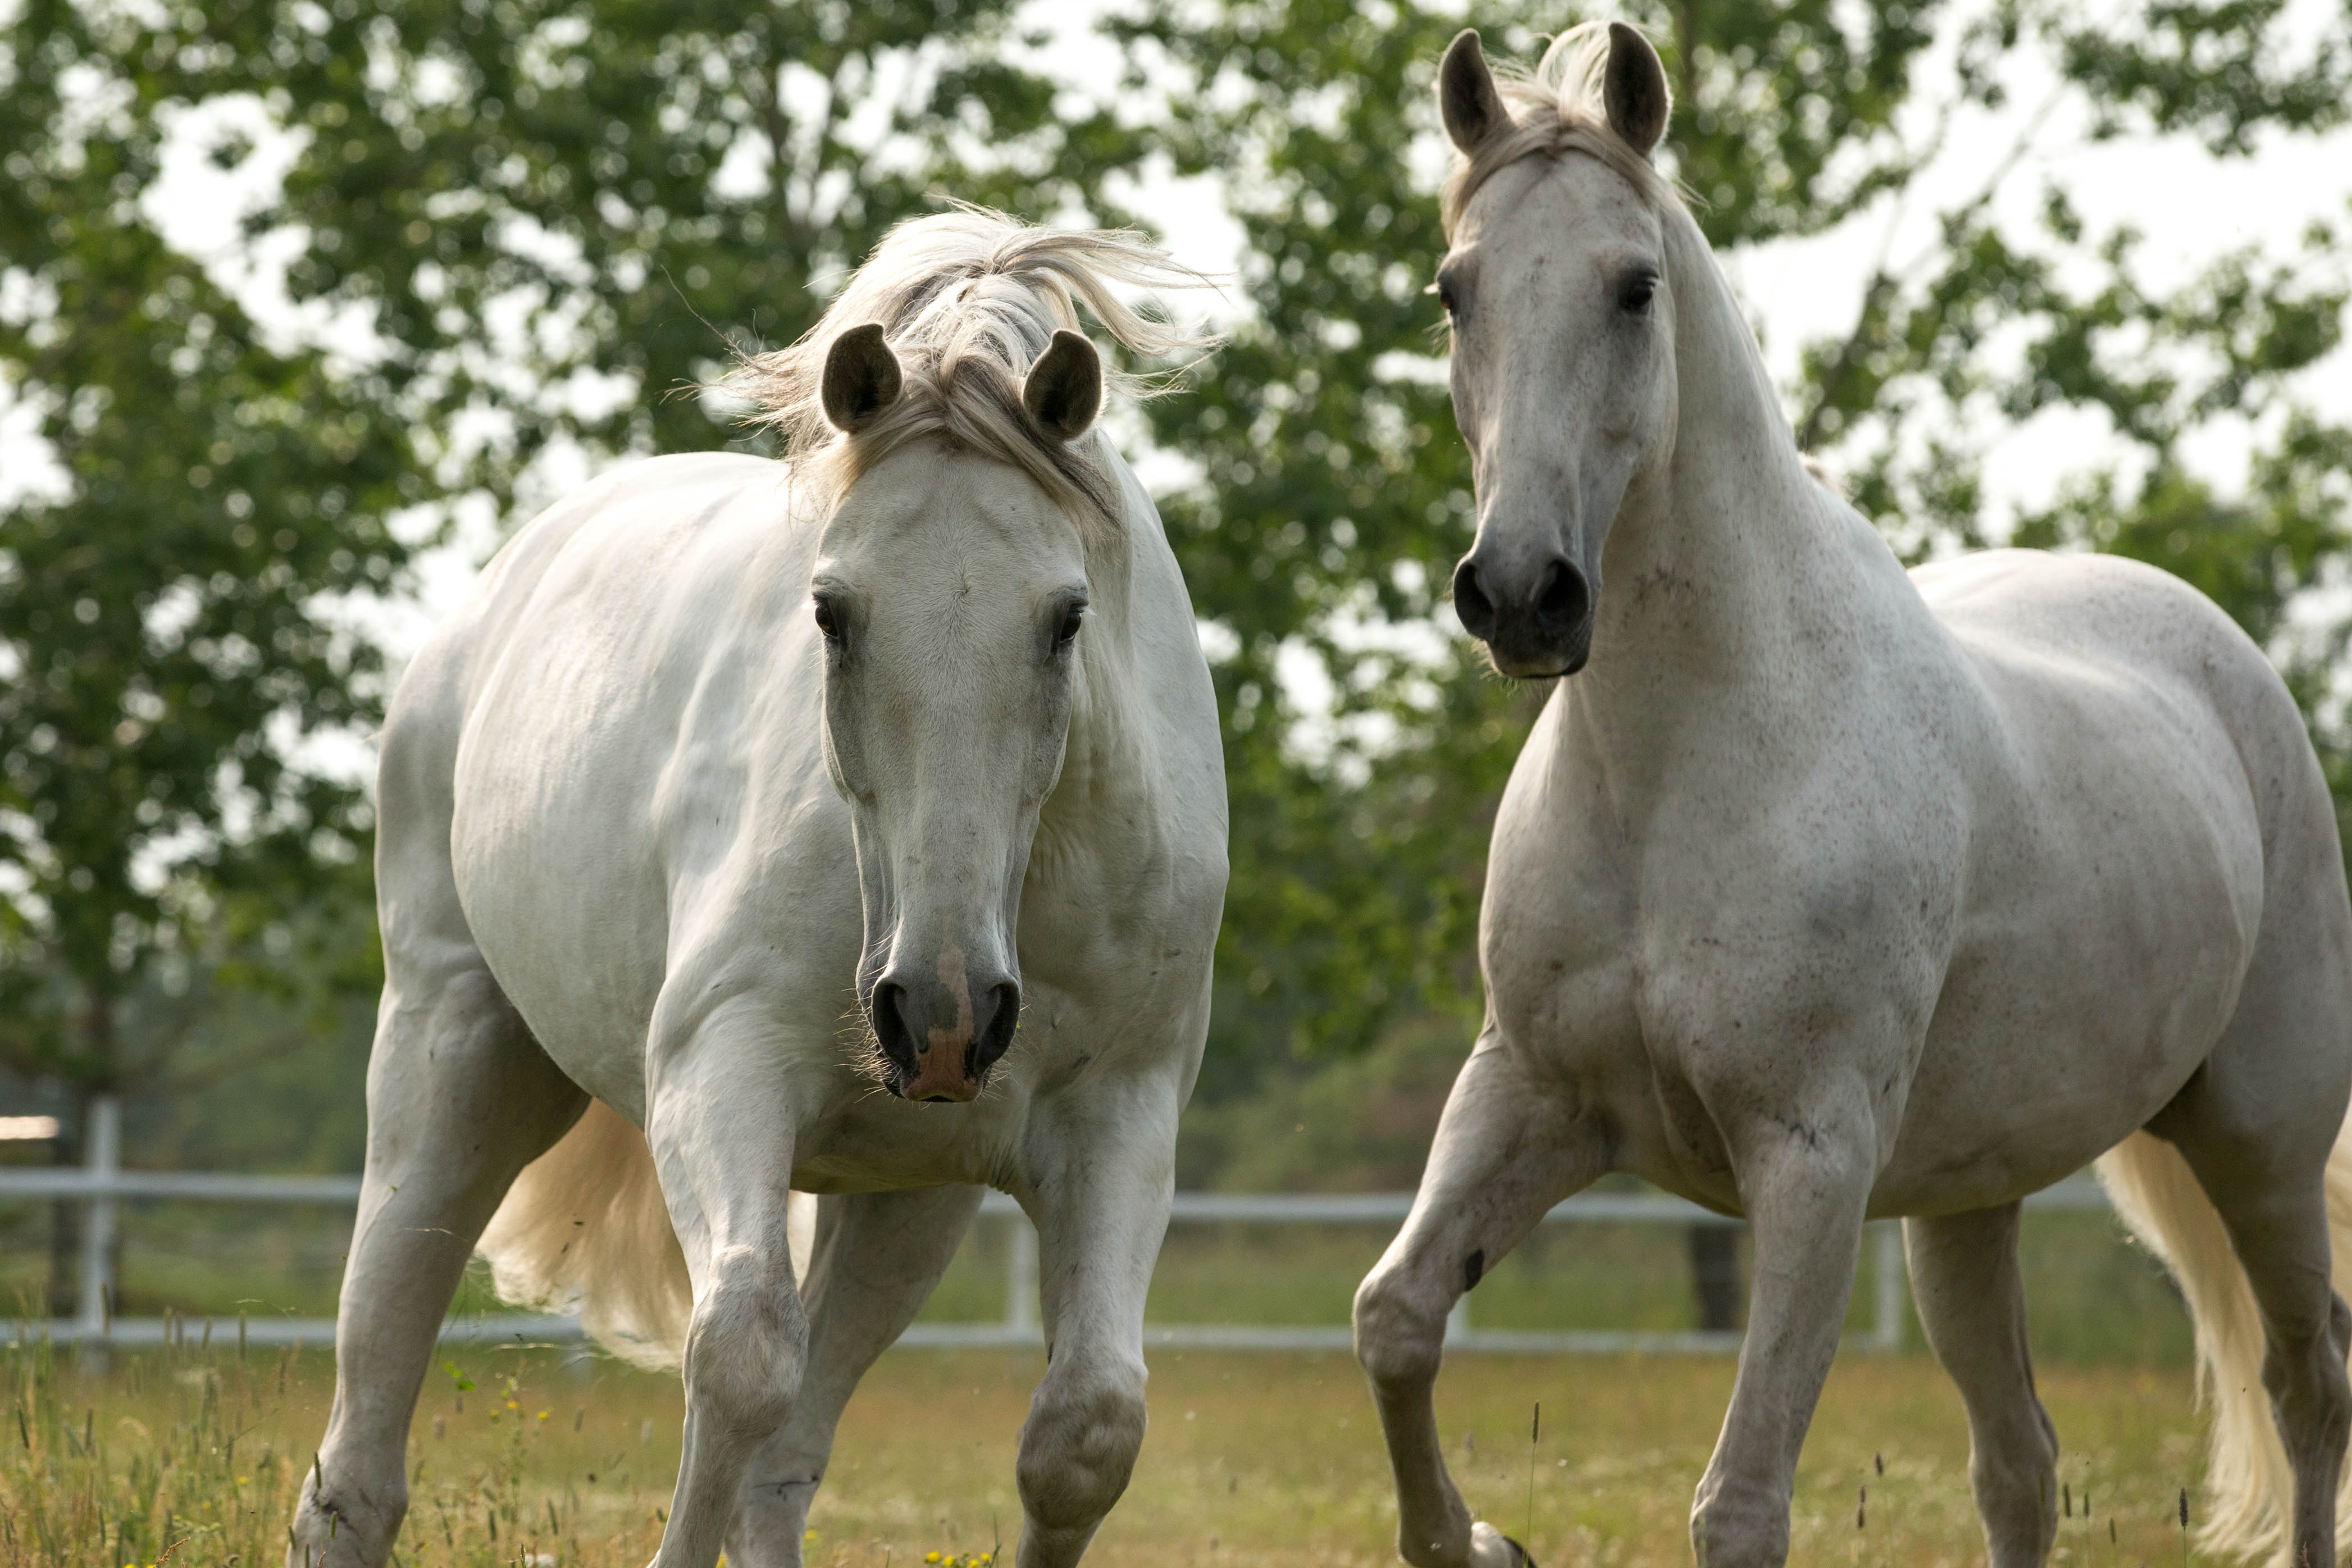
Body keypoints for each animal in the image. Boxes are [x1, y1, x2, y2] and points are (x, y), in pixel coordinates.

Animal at [286, 210, 1228, 1568]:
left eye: (1065, 618)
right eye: (831, 611)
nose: (940, 1011)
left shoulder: (1120, 1117)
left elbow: (1085, 1429)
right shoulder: (720, 1069)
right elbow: (738, 1358)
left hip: (910, 1197)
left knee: (788, 1460)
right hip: (453, 1064)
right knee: (363, 1434)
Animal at [1353, 22, 2352, 1568]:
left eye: (1634, 287)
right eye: (1451, 291)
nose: (1520, 594)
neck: (1682, 765)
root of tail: (2231, 666)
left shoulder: (1811, 1163)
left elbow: (1739, 1504)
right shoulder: (1526, 1097)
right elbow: (1395, 1319)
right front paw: (1483, 1542)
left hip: (2259, 1146)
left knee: (2304, 1388)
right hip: (1966, 1203)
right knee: (2020, 1463)